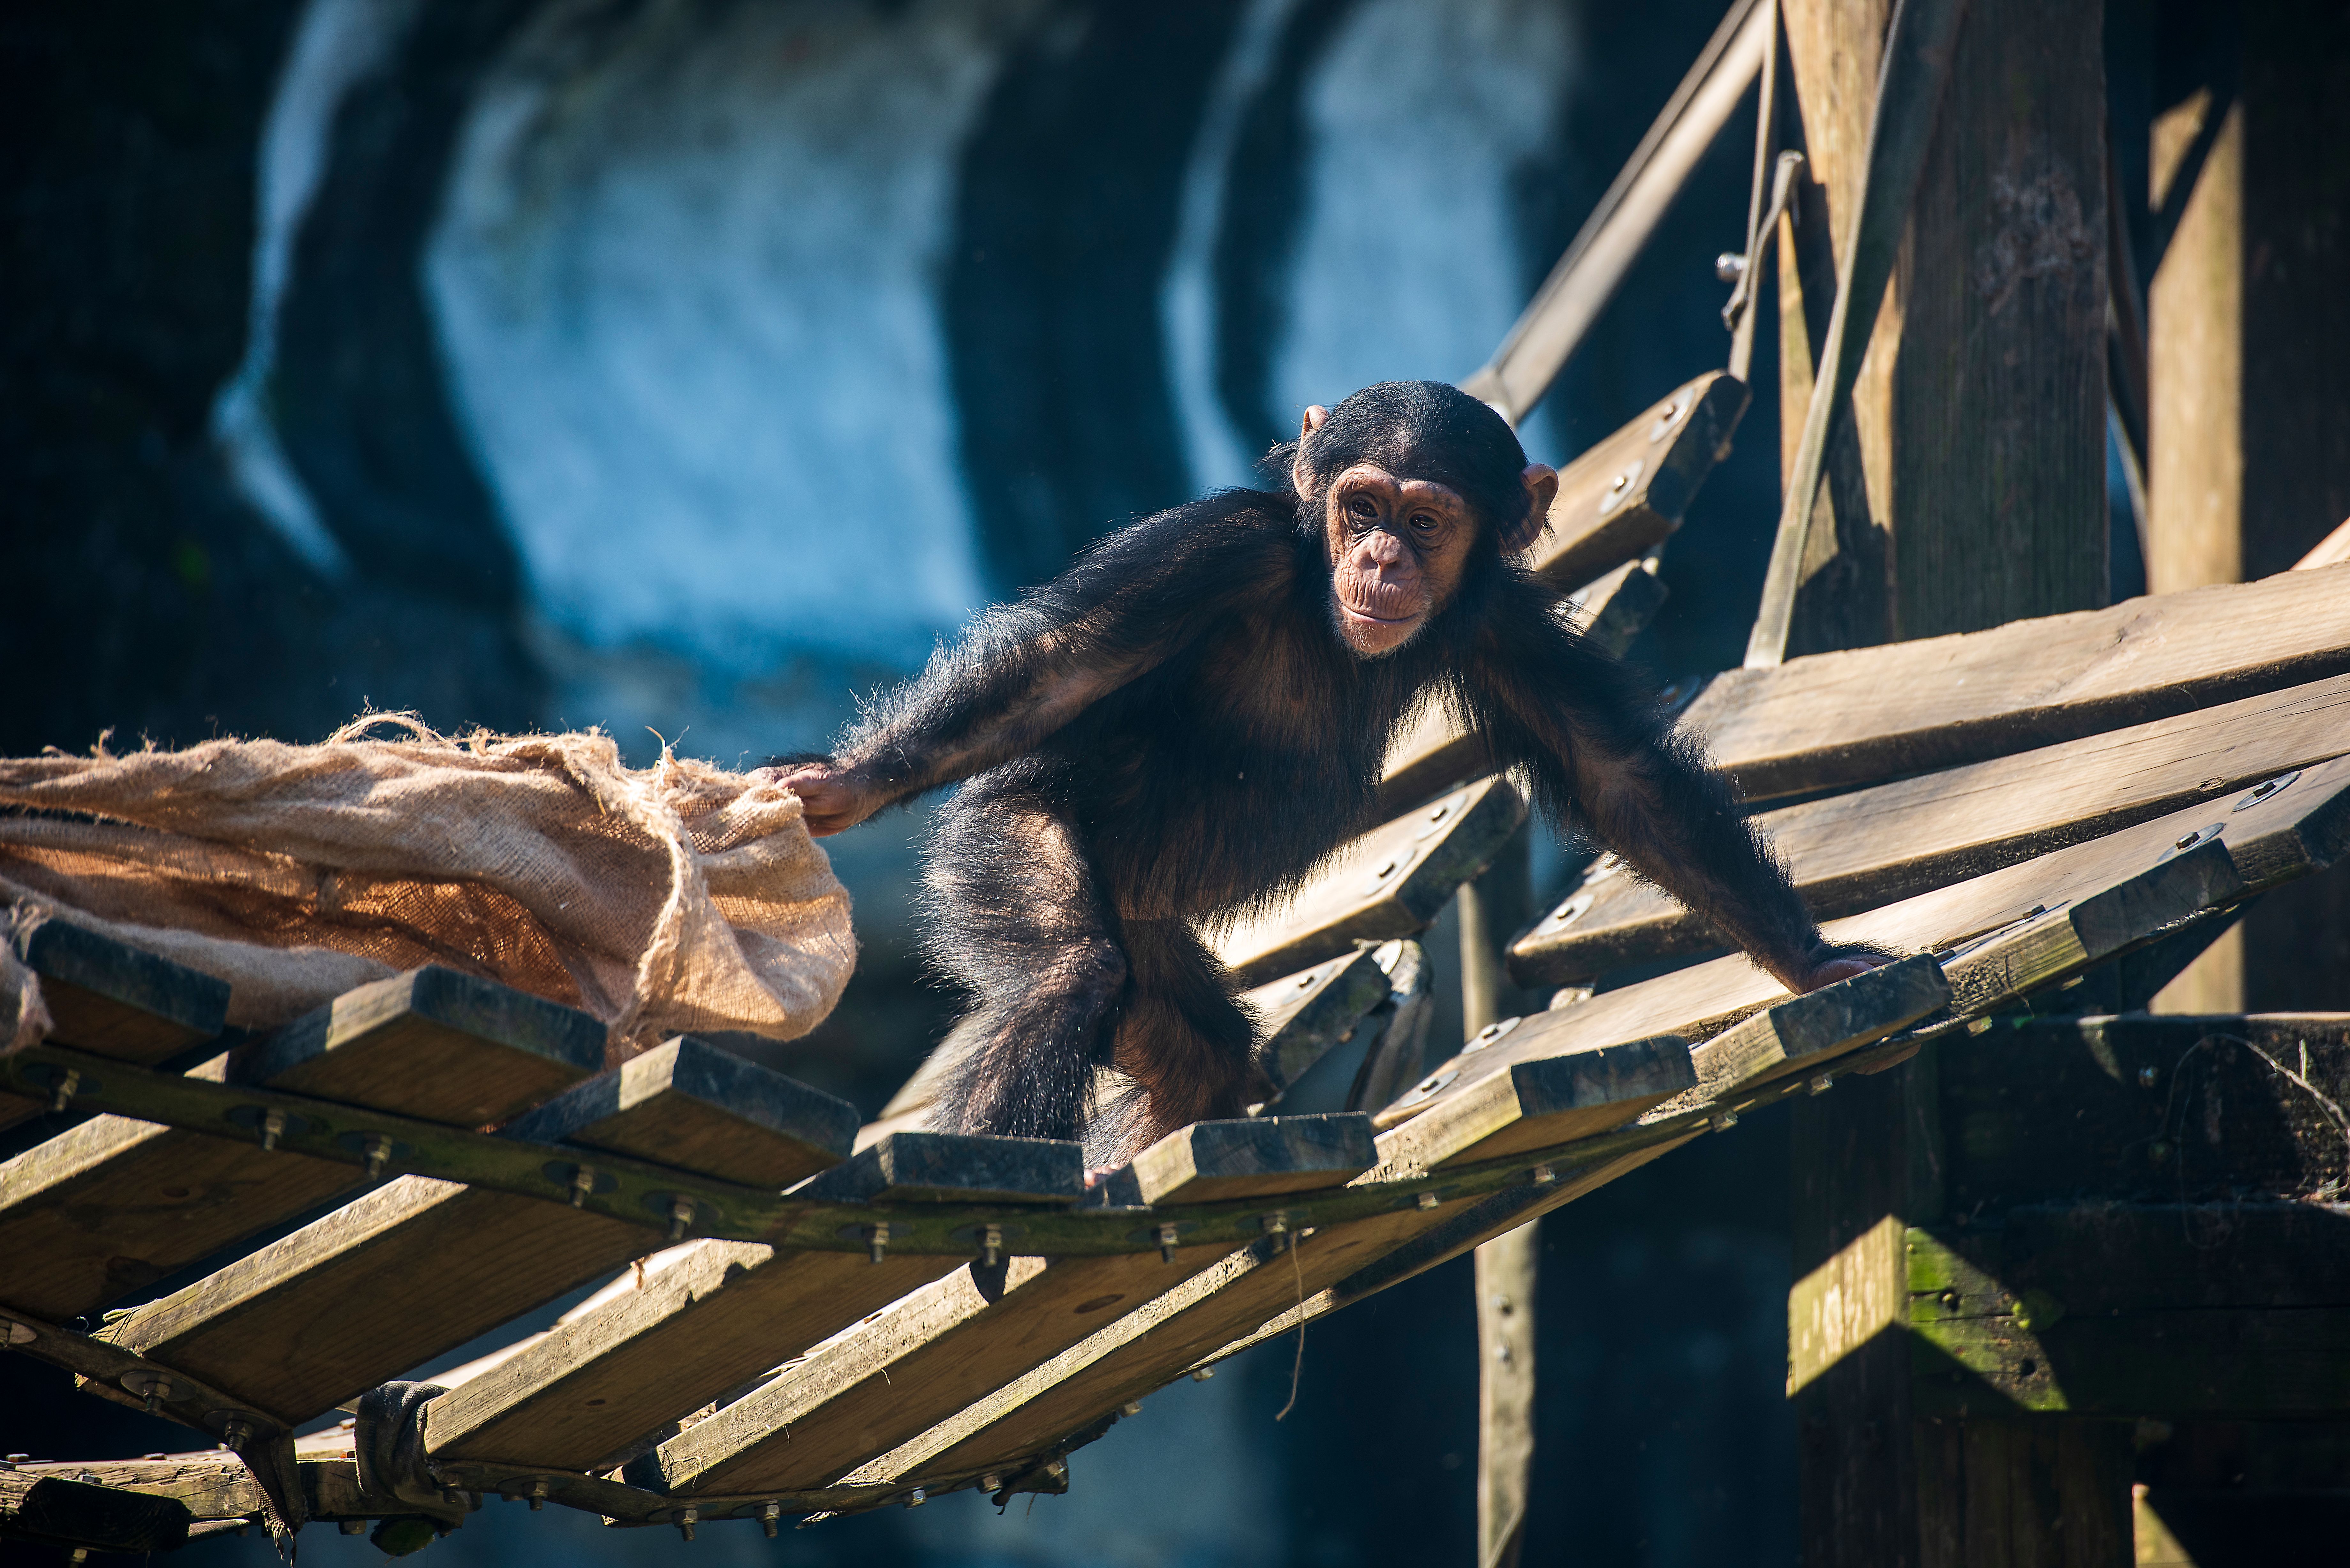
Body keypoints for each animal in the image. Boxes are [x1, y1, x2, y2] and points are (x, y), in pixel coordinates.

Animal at [765, 380, 1886, 1162]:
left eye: (1424, 521)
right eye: (1363, 508)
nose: (1383, 560)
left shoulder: (1505, 621)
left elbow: (1620, 778)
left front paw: (1813, 963)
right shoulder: (1217, 546)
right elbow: (1059, 667)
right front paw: (847, 782)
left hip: (1157, 949)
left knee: (1202, 1063)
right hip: (1005, 828)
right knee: (1063, 968)